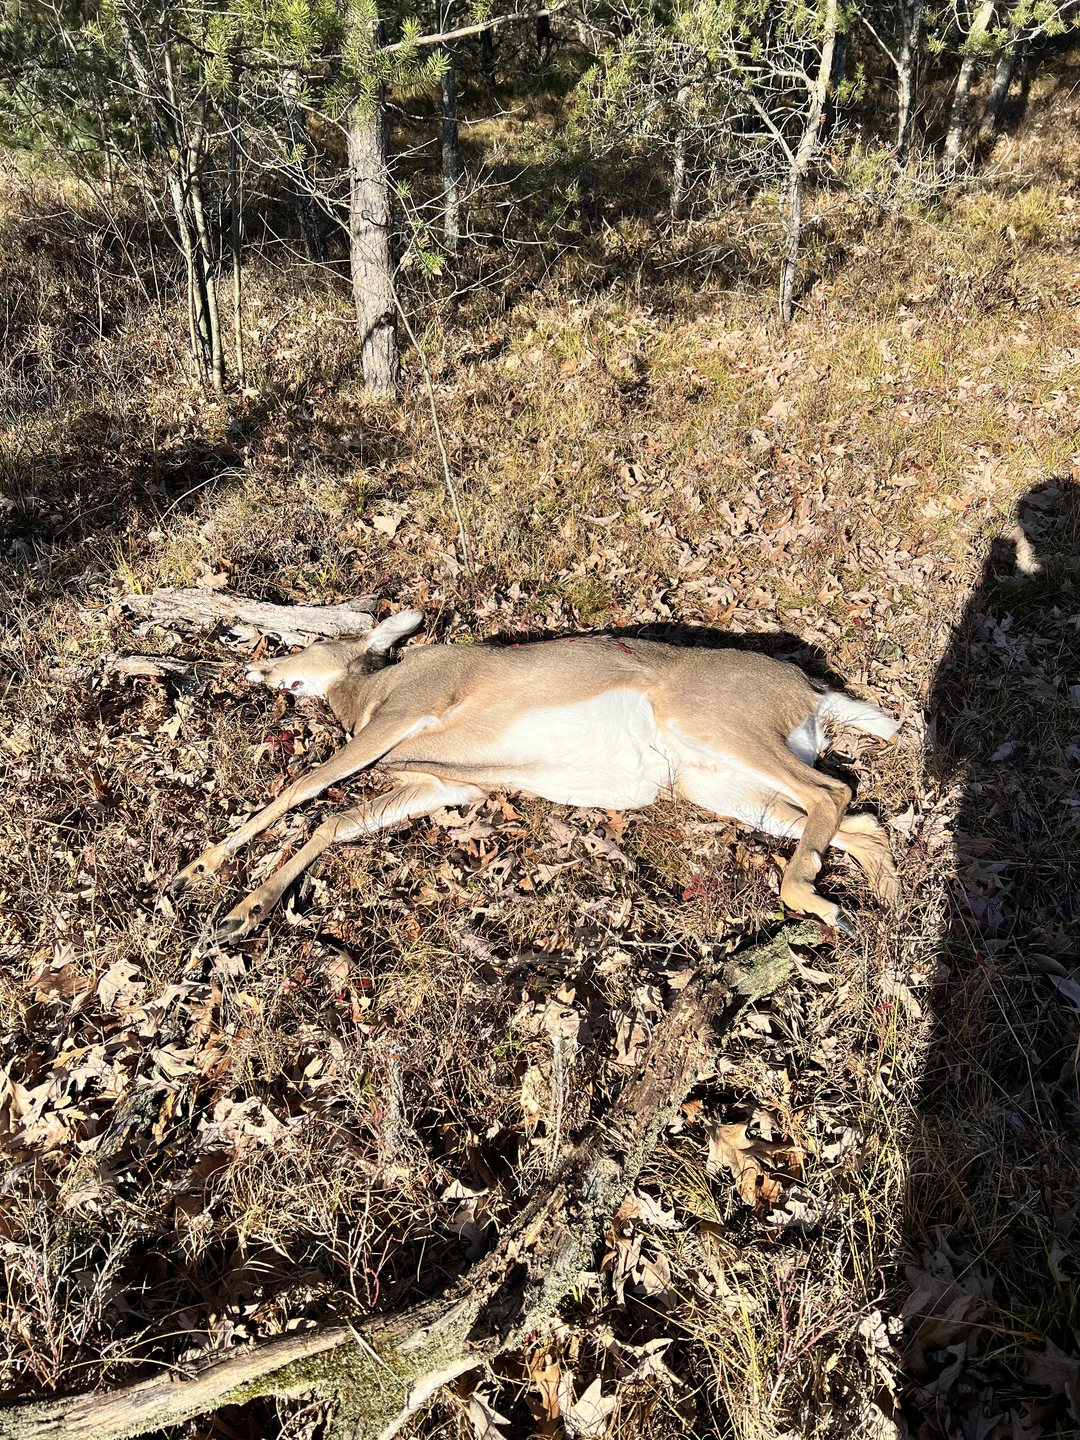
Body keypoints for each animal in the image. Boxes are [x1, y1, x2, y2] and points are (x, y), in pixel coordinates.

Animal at [169, 609, 901, 943]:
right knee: (860, 818)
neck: (372, 693)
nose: (256, 666)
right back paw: (878, 913)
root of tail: (813, 692)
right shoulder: (449, 783)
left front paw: (197, 869)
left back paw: (820, 903)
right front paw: (240, 911)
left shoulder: (404, 714)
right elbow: (333, 821)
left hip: (713, 723)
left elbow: (304, 789)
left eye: (311, 642)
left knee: (835, 791)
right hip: (715, 783)